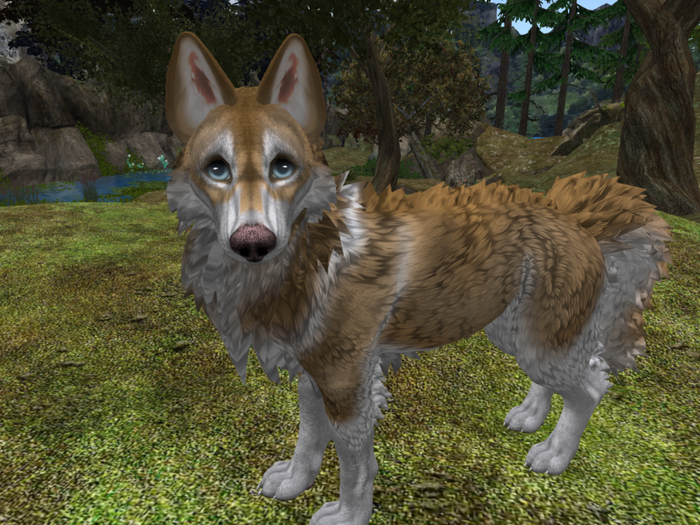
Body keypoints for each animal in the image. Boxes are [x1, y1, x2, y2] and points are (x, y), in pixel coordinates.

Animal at [164, 31, 673, 525]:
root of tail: (571, 212)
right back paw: (530, 415)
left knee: (592, 386)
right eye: (217, 169)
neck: (312, 254)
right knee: (563, 378)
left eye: (282, 167)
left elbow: (354, 465)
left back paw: (556, 454)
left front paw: (350, 515)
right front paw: (294, 482)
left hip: (537, 343)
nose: (253, 243)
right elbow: (308, 439)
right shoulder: (313, 372)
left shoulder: (346, 382)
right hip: (516, 333)